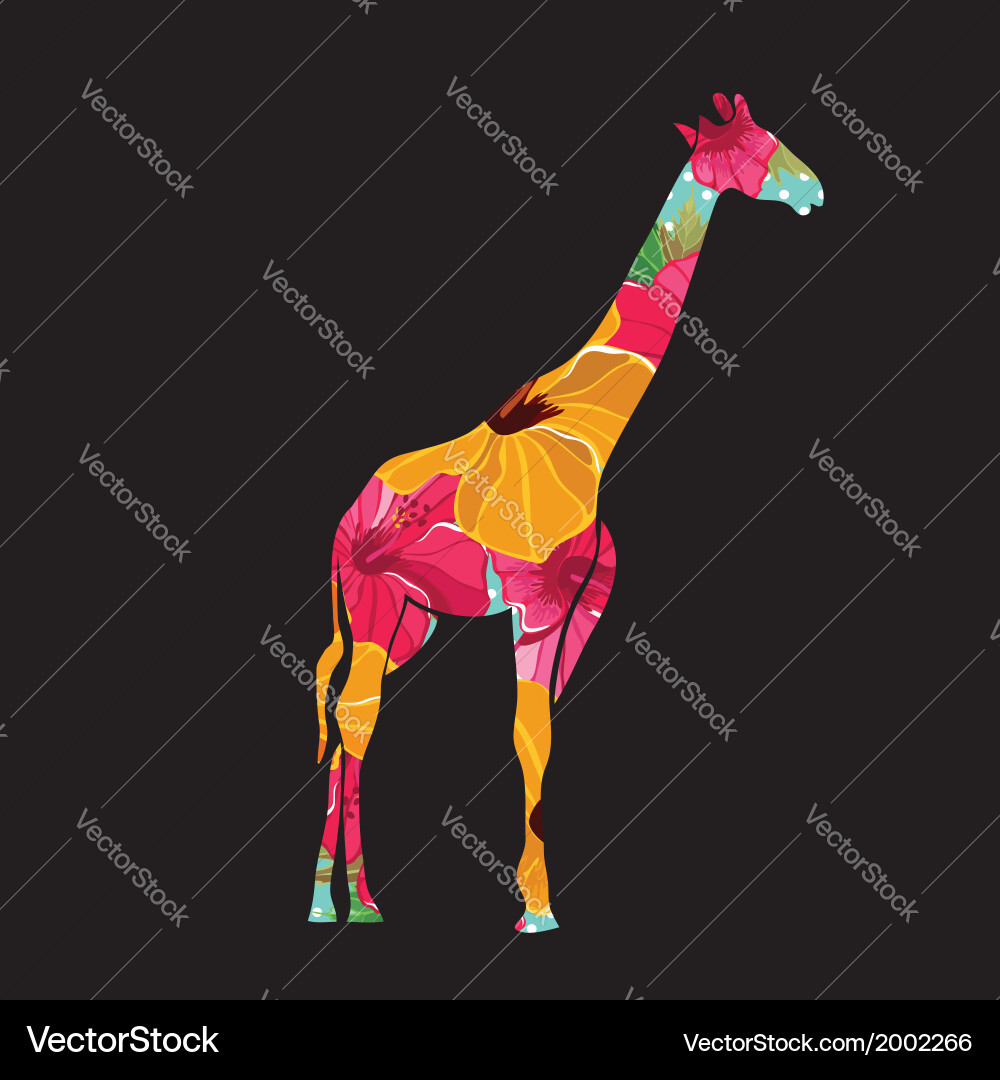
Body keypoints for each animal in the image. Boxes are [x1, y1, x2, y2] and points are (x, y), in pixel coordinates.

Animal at [307, 93, 824, 932]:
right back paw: (342, 903)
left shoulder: (575, 606)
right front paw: (537, 913)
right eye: (752, 147)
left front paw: (540, 905)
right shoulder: (533, 603)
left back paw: (349, 902)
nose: (813, 189)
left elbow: (541, 740)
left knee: (356, 724)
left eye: (773, 136)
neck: (584, 429)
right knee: (355, 718)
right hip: (373, 600)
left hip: (410, 622)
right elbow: (526, 736)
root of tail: (341, 522)